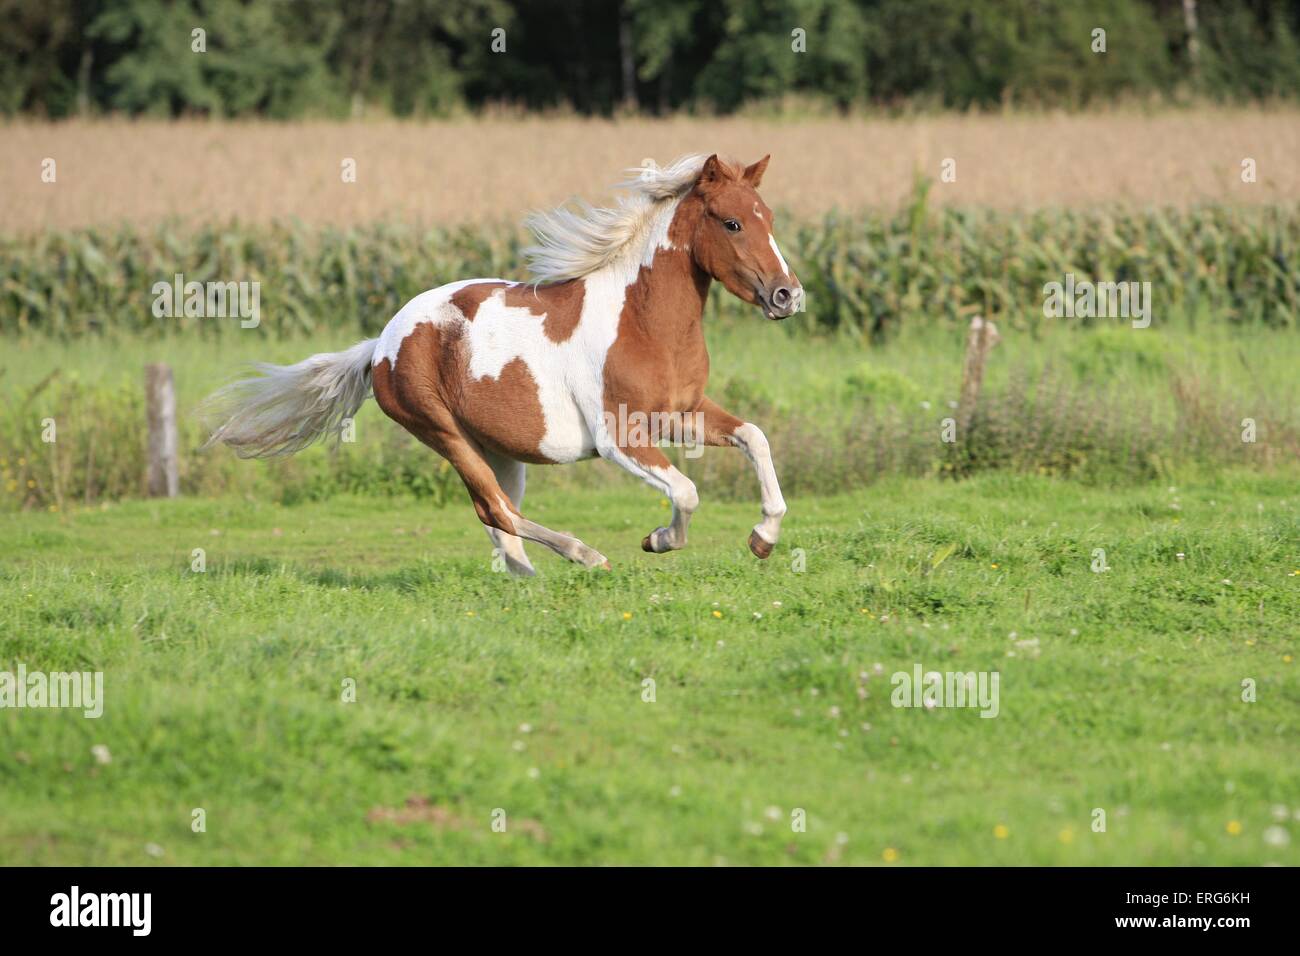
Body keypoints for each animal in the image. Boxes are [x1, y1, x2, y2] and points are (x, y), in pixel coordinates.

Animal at [202, 154, 803, 575]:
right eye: (731, 222)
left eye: (769, 217)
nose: (787, 295)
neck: (643, 322)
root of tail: (381, 345)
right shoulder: (620, 438)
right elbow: (686, 491)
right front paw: (658, 540)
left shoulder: (682, 413)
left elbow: (754, 437)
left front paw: (762, 539)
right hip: (444, 434)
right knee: (496, 511)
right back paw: (586, 557)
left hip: (499, 448)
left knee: (499, 522)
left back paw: (531, 579)